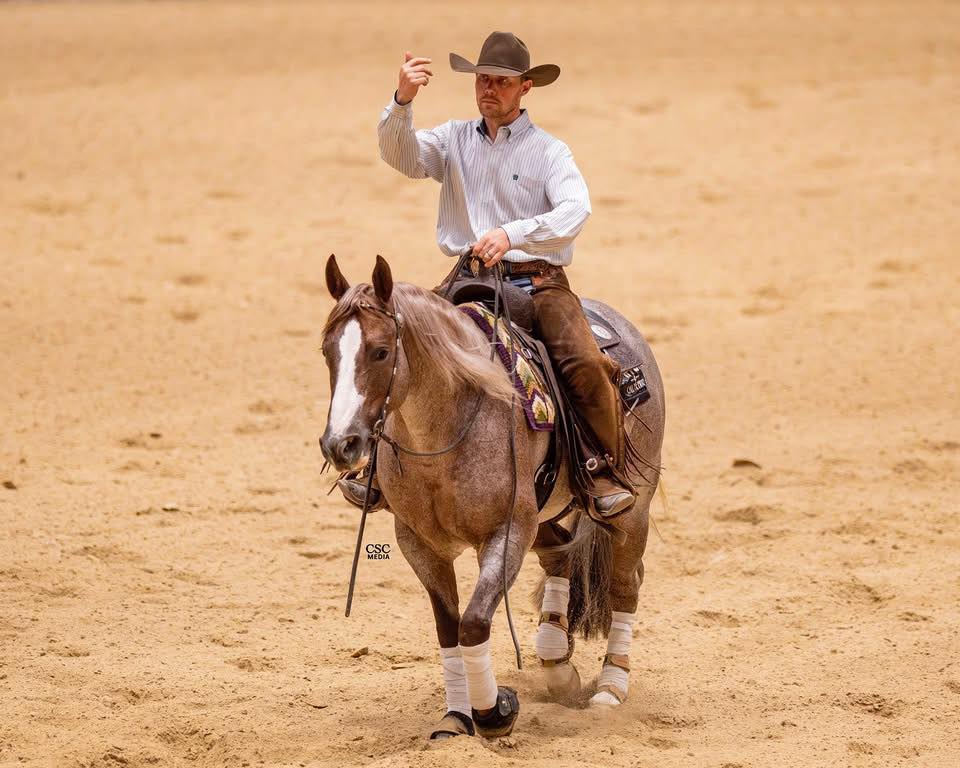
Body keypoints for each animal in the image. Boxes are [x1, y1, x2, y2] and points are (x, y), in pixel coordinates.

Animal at [318, 254, 665, 739]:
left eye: (381, 351)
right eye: (327, 351)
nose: (340, 444)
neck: (444, 440)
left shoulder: (508, 533)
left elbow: (475, 622)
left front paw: (495, 712)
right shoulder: (417, 543)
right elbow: (449, 627)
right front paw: (456, 717)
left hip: (631, 512)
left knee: (624, 586)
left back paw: (610, 688)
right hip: (546, 512)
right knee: (559, 559)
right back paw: (557, 664)